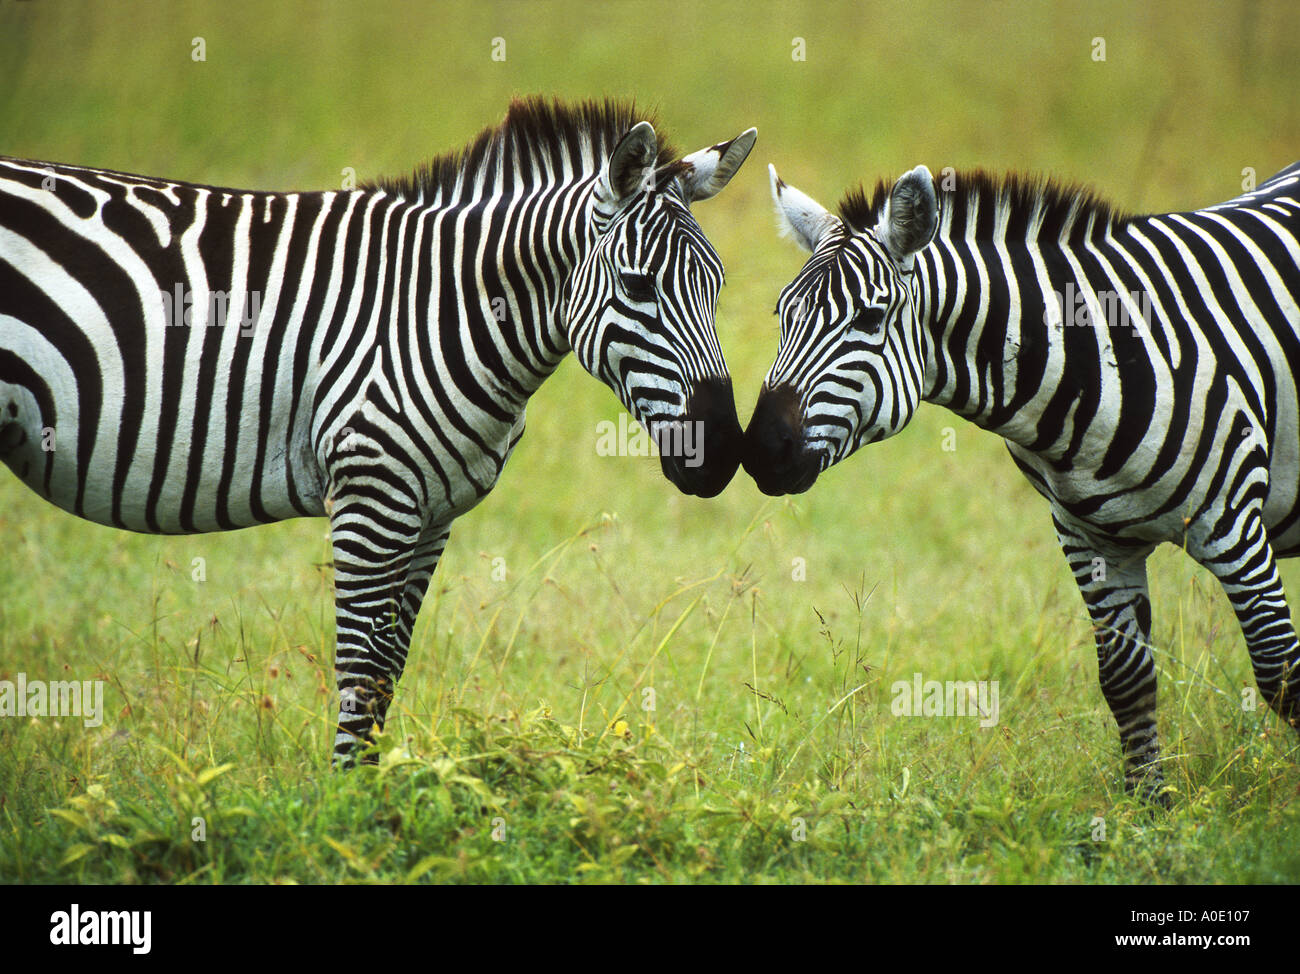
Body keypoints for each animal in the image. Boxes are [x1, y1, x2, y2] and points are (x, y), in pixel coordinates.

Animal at [0, 97, 756, 766]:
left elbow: (390, 666)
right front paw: (344, 812)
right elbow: (362, 671)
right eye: (638, 287)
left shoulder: (432, 513)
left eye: (719, 288)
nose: (722, 455)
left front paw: (369, 796)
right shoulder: (372, 494)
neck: (443, 307)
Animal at [744, 159, 1300, 802]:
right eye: (782, 315)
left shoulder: (1234, 525)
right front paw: (1147, 811)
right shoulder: (1087, 537)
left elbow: (1281, 673)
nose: (758, 452)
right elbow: (1126, 680)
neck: (1100, 356)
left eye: (870, 318)